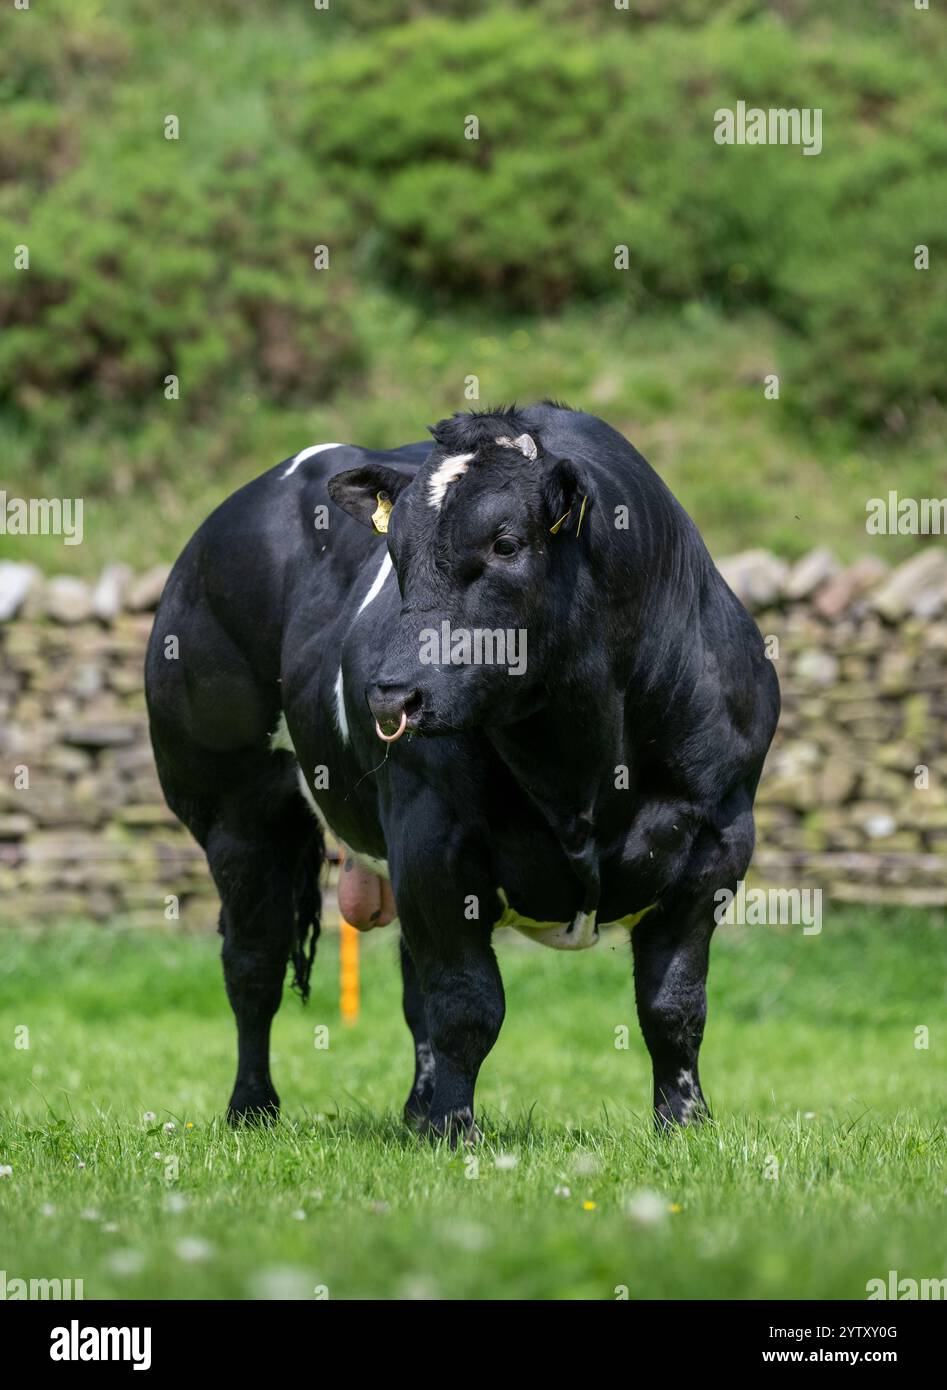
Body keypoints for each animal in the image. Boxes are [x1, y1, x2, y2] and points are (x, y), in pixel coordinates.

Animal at [145, 402, 780, 1141]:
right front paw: (455, 1131)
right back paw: (253, 1109)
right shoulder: (433, 840)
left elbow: (673, 1004)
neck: (580, 766)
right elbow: (466, 1002)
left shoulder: (716, 840)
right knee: (254, 966)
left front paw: (683, 1124)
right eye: (395, 554)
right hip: (234, 811)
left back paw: (415, 1110)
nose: (391, 696)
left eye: (506, 544)